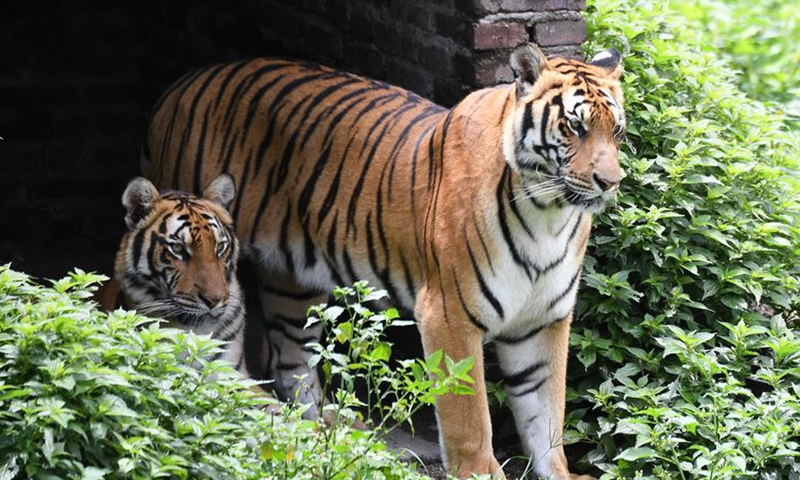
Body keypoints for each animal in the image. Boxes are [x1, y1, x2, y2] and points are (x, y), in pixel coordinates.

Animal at [142, 42, 625, 480]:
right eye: (575, 127)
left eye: (616, 132)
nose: (610, 182)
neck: (549, 215)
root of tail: (183, 83)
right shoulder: (449, 314)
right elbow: (469, 416)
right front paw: (480, 471)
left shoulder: (543, 320)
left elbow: (546, 414)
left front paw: (558, 472)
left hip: (293, 281)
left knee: (291, 357)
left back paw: (322, 426)